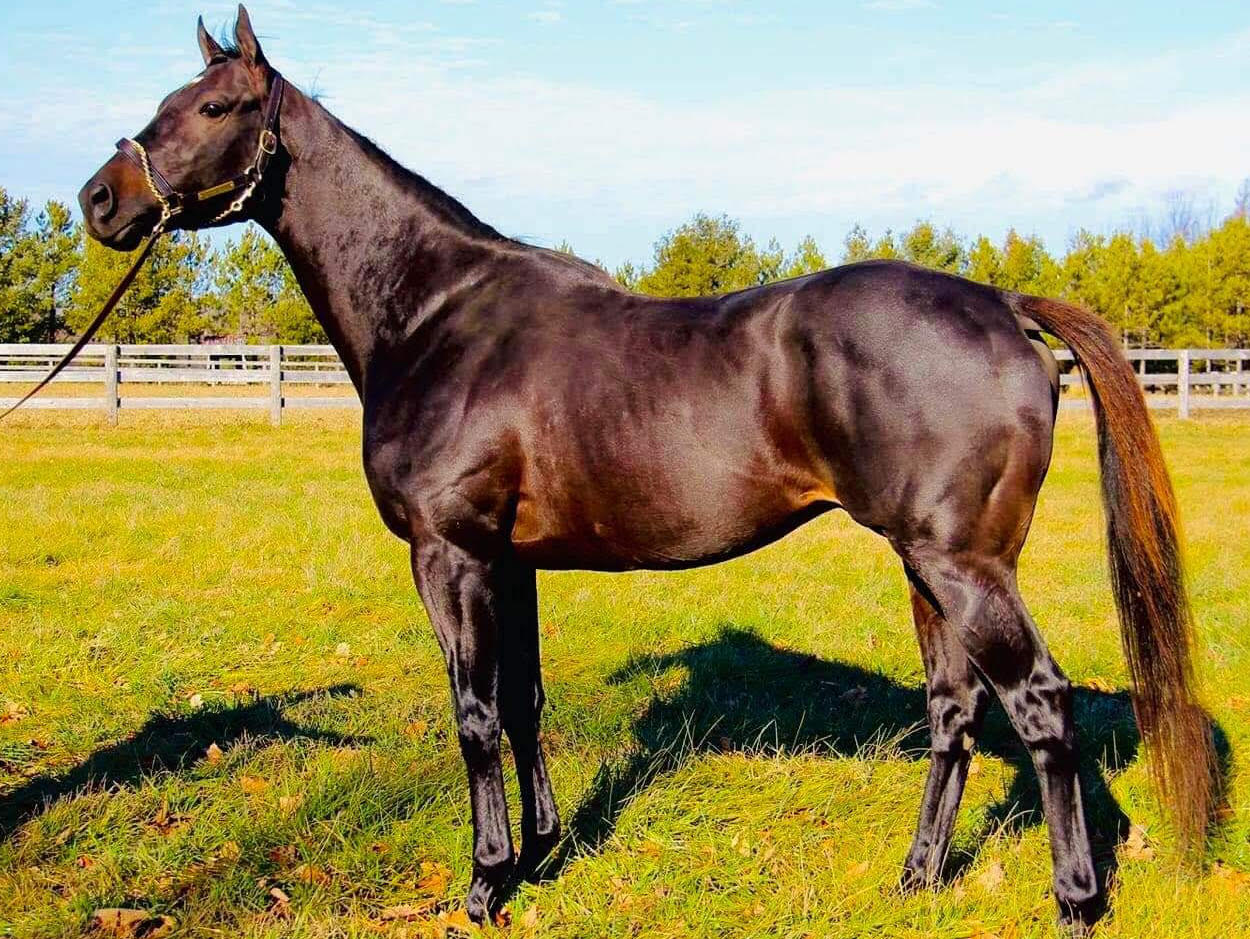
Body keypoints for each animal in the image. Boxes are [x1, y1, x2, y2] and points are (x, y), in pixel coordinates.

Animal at [77, 7, 1215, 928]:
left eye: (214, 105)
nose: (99, 200)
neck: (436, 313)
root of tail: (1002, 305)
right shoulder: (510, 562)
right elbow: (524, 702)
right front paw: (541, 854)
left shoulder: (449, 555)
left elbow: (475, 715)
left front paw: (484, 882)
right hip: (925, 567)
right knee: (953, 711)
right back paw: (916, 877)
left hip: (963, 568)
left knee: (1040, 705)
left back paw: (1074, 899)